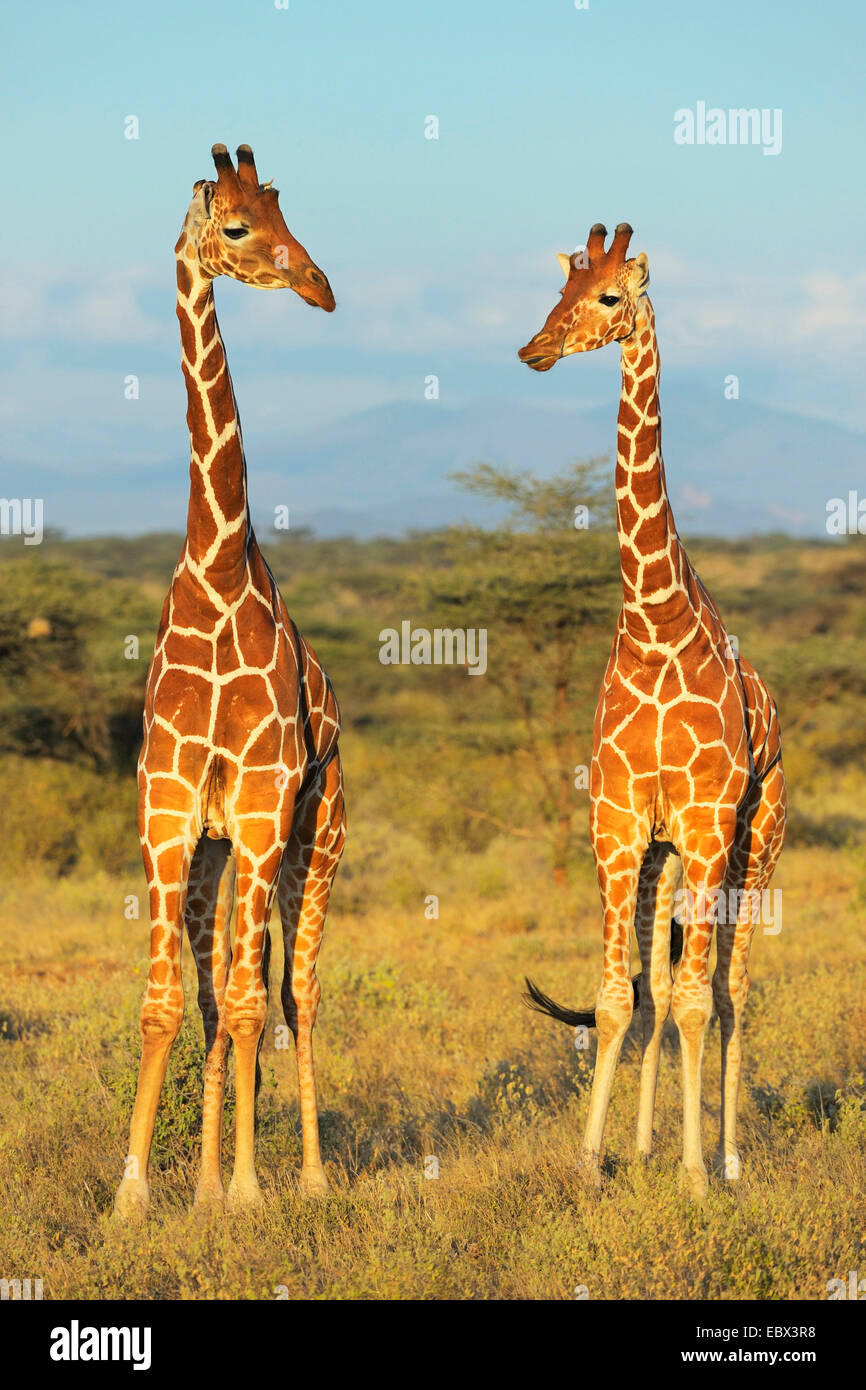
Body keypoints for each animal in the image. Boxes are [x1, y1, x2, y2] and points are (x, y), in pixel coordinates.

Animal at [518, 223, 786, 1198]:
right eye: (559, 292)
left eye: (607, 299)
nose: (534, 349)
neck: (654, 624)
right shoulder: (621, 821)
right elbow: (617, 996)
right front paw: (594, 1163)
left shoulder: (708, 823)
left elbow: (703, 1000)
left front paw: (697, 1176)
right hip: (667, 860)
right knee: (663, 989)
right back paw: (645, 1146)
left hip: (755, 845)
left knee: (732, 993)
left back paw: (732, 1157)